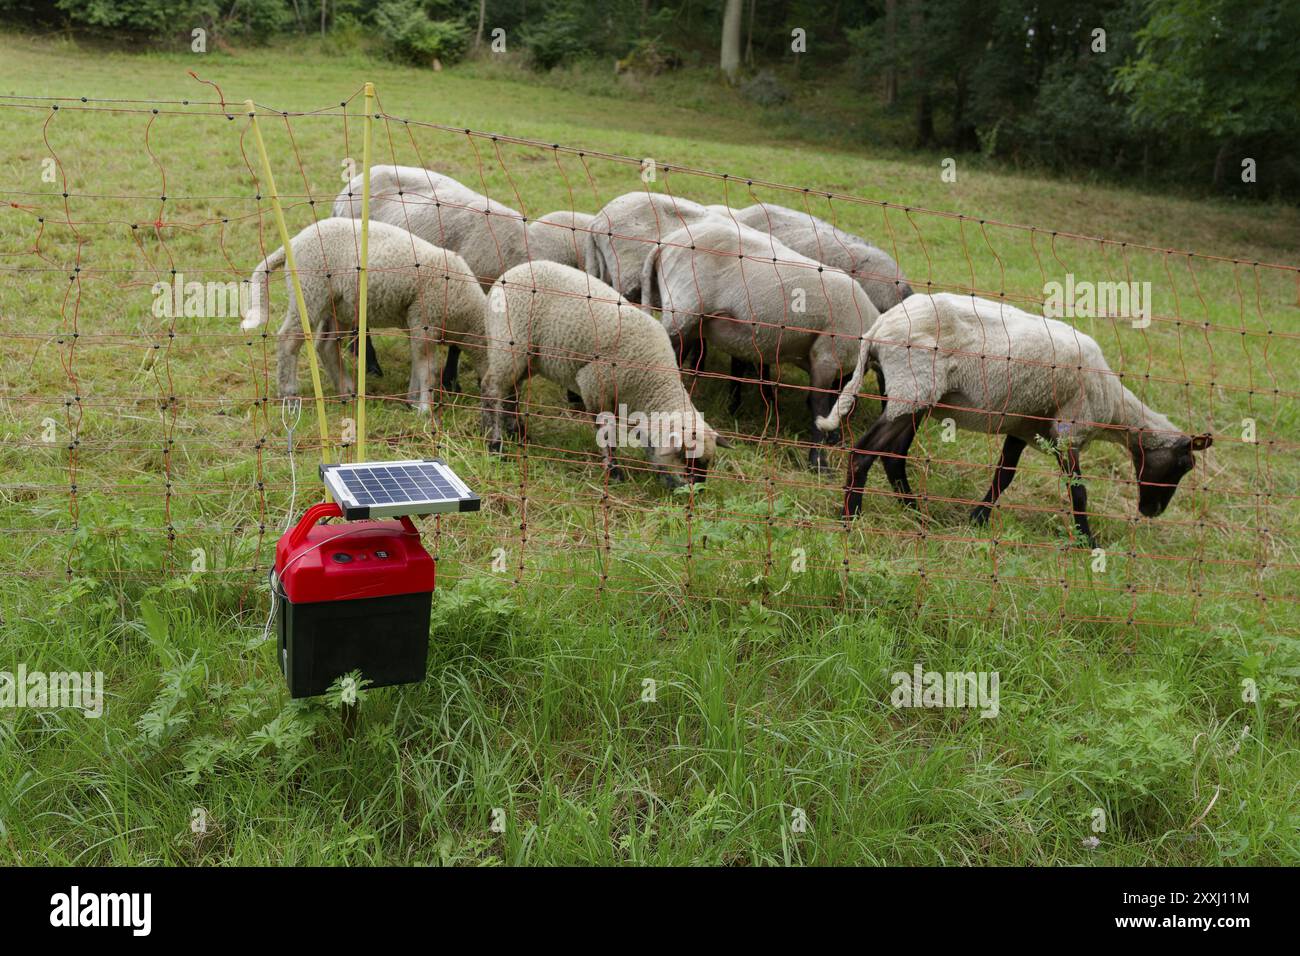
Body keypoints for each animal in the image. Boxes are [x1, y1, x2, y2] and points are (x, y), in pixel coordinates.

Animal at [240, 217, 486, 414]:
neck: (469, 318)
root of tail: (293, 243)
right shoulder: (425, 318)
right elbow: (428, 369)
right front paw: (425, 409)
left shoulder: (414, 323)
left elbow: (417, 363)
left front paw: (412, 400)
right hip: (310, 291)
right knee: (289, 340)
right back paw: (289, 394)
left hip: (339, 306)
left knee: (327, 346)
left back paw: (346, 390)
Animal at [479, 260, 727, 487]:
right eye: (687, 460)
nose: (699, 490)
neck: (651, 383)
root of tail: (503, 278)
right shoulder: (594, 385)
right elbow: (606, 434)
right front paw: (614, 471)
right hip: (510, 344)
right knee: (491, 388)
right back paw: (495, 444)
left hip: (528, 358)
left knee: (510, 391)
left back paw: (518, 433)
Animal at [642, 219, 880, 471]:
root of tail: (665, 244)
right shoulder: (827, 354)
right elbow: (819, 405)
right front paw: (819, 462)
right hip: (684, 309)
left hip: (691, 321)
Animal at [816, 292, 1213, 545]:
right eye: (1185, 464)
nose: (1152, 511)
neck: (1114, 405)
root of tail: (879, 327)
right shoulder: (1070, 428)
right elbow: (1079, 491)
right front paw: (1088, 541)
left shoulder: (1023, 427)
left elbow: (1003, 477)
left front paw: (977, 520)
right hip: (911, 387)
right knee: (864, 452)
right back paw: (852, 516)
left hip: (914, 396)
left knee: (893, 455)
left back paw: (914, 512)